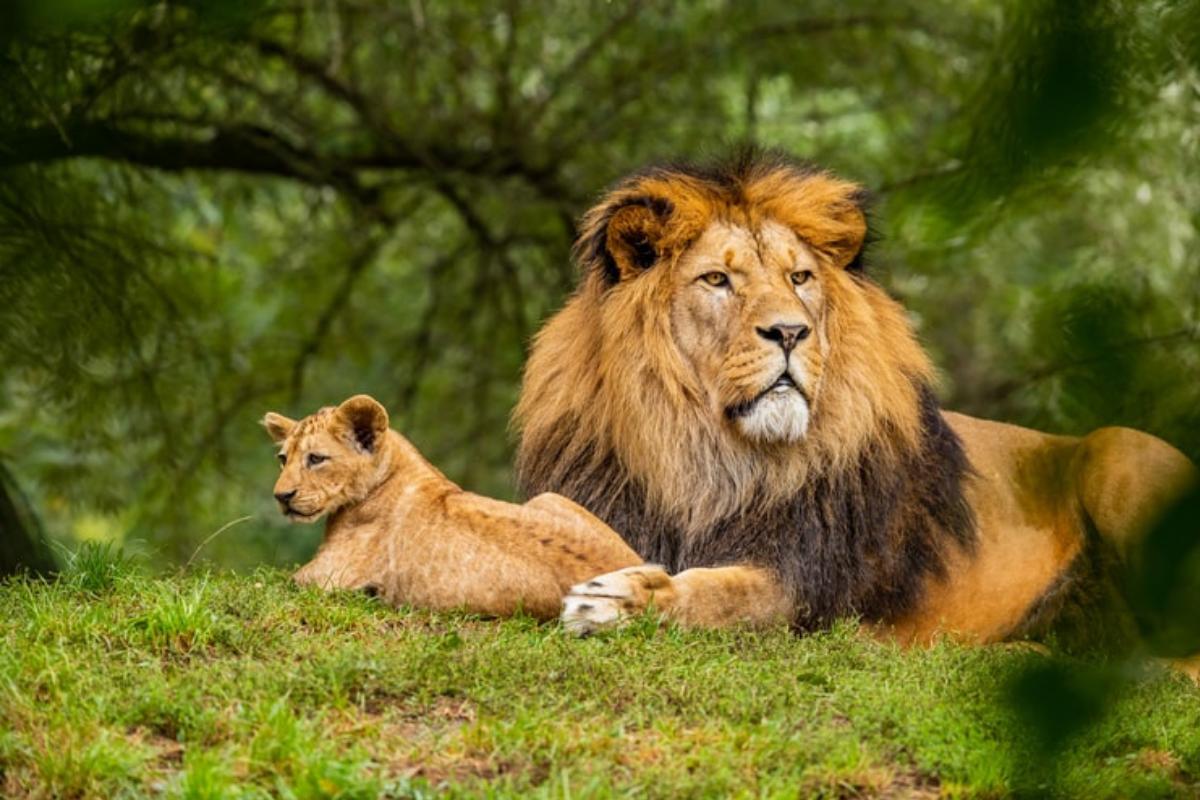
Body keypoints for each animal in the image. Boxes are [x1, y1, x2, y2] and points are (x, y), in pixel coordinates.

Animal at [261, 394, 640, 618]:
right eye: (282, 459)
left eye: (316, 459)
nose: (281, 496)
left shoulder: (325, 577)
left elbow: (272, 583)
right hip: (548, 496)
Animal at [513, 149, 1199, 668]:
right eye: (717, 280)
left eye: (800, 279)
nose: (790, 332)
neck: (708, 456)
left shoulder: (804, 582)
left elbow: (719, 595)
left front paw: (620, 601)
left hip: (1119, 451)